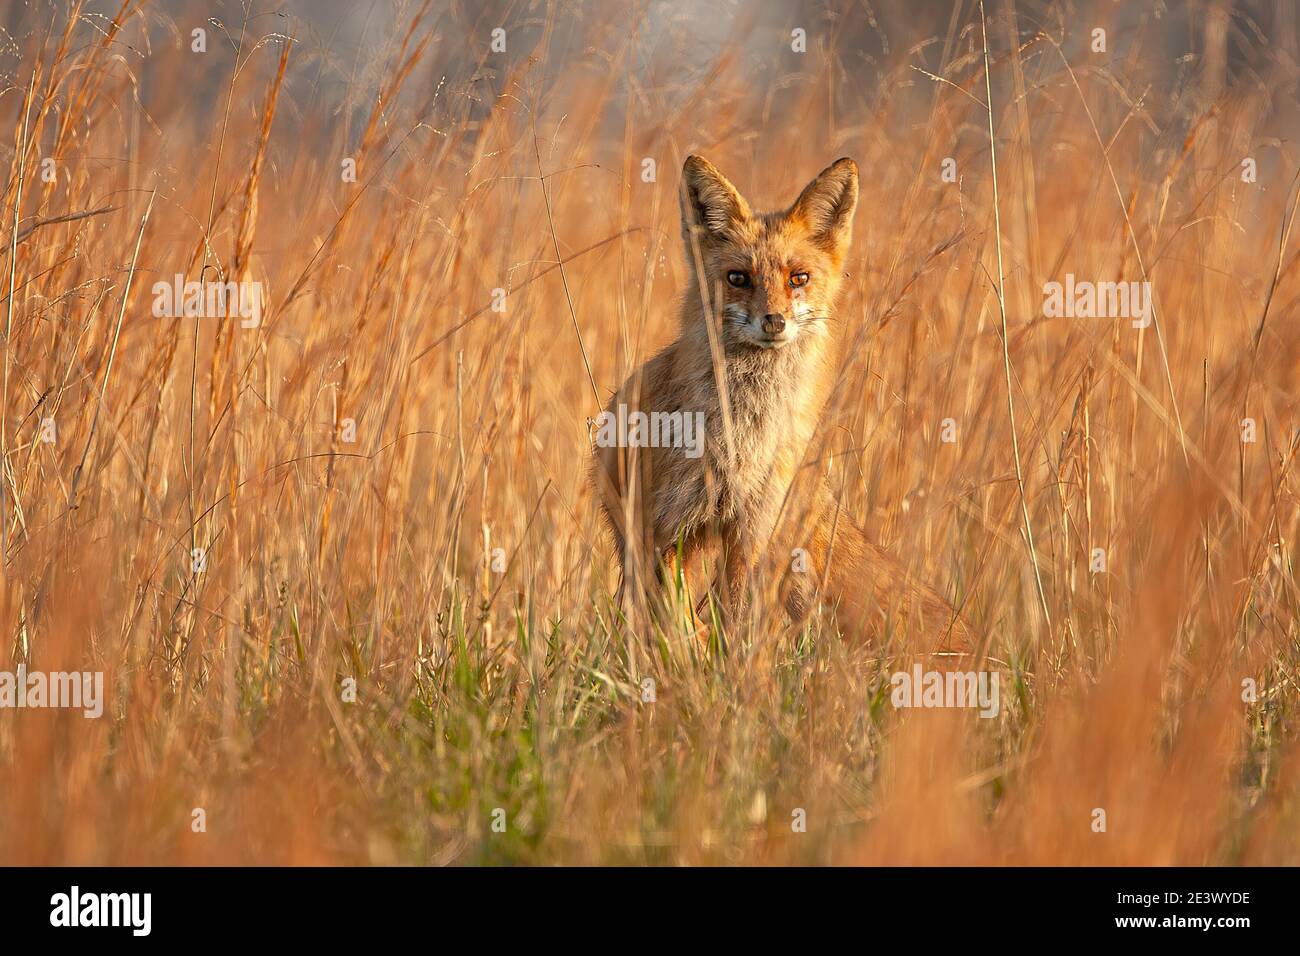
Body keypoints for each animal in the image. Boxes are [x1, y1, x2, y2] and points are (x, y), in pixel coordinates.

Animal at [591, 155, 967, 650]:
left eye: (798, 278)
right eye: (738, 278)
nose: (774, 321)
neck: (740, 438)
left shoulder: (751, 527)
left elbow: (733, 619)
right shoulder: (660, 527)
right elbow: (677, 613)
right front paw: (692, 650)